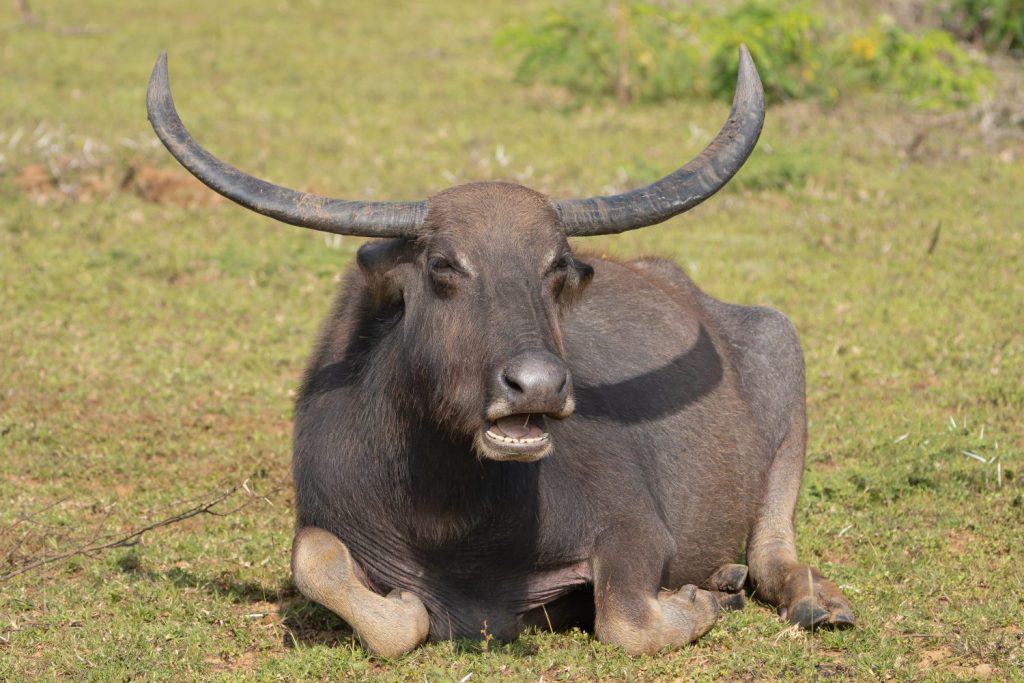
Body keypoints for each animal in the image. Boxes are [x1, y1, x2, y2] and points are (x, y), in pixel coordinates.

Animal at [147, 46, 854, 656]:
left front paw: (701, 600)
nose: (537, 385)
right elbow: (321, 565)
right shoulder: (323, 512)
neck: (450, 515)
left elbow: (627, 619)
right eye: (442, 264)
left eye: (557, 265)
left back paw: (811, 601)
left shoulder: (635, 528)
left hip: (785, 360)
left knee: (773, 548)